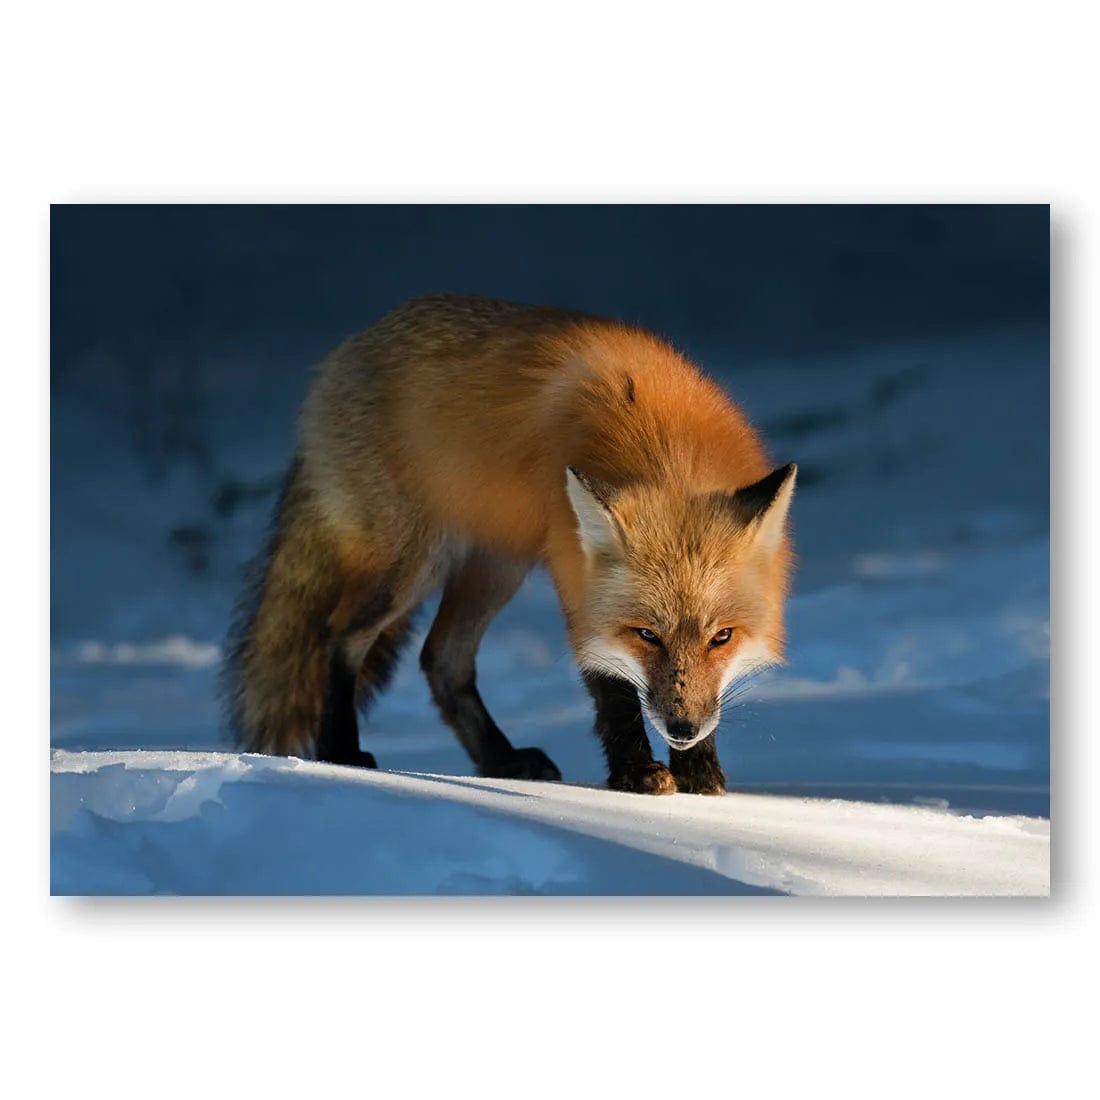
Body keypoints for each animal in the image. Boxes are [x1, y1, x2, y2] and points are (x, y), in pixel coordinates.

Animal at [224, 293, 796, 795]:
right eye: (645, 635)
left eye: (722, 637)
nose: (681, 729)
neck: (663, 449)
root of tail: (345, 351)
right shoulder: (576, 577)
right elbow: (611, 689)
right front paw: (635, 775)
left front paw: (697, 769)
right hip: (408, 568)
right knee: (339, 635)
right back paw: (340, 751)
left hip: (496, 568)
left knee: (441, 660)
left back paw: (499, 759)